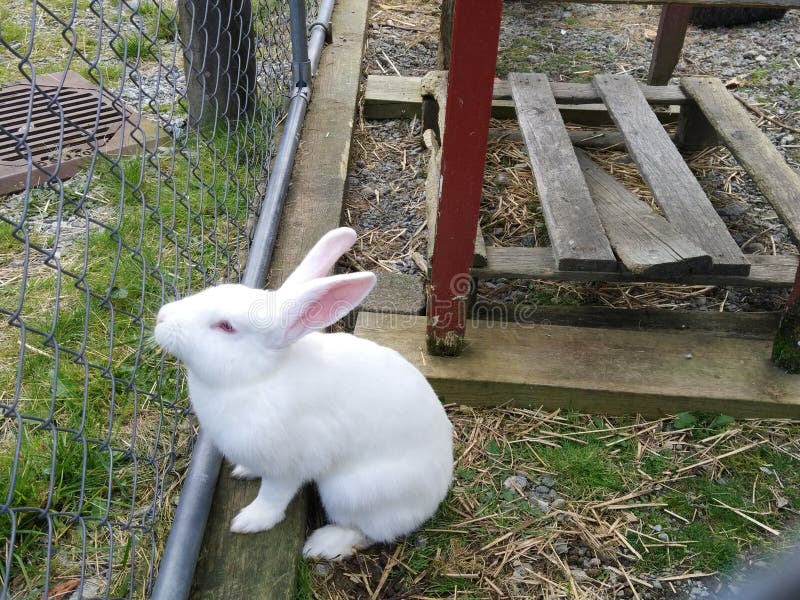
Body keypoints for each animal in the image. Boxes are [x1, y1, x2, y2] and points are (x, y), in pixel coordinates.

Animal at [155, 227, 453, 560]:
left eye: (226, 327)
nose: (161, 317)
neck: (258, 377)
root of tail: (438, 493)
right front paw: (244, 471)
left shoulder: (288, 466)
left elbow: (272, 497)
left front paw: (250, 521)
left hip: (350, 491)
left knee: (369, 531)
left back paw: (322, 545)